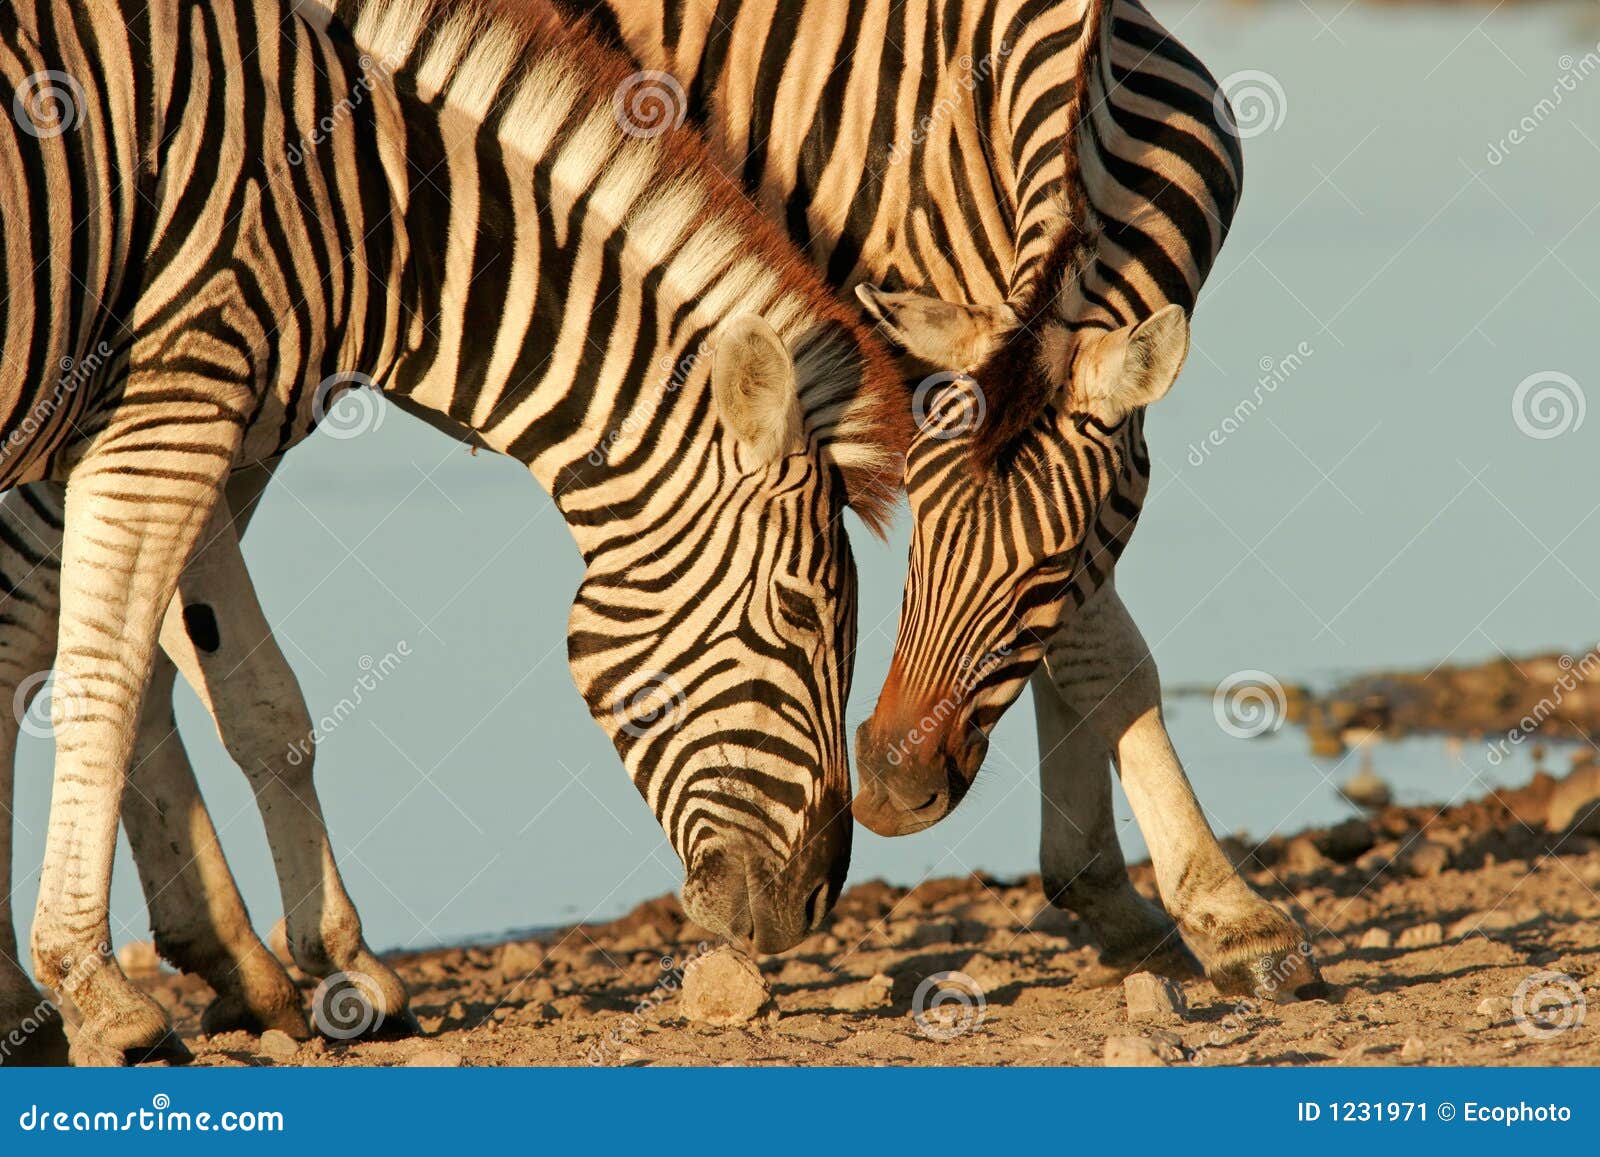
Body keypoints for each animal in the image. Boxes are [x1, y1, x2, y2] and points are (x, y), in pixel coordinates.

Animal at [0, 0, 924, 1065]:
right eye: (800, 611)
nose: (814, 902)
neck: (373, 201)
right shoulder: (169, 402)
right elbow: (98, 684)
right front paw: (94, 990)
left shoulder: (206, 416)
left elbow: (258, 697)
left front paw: (338, 962)